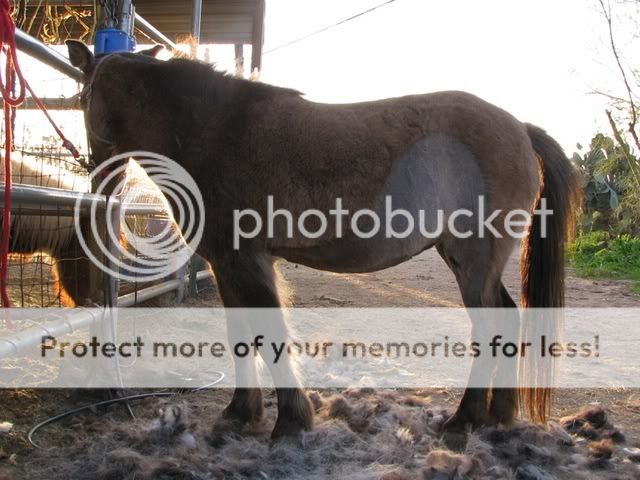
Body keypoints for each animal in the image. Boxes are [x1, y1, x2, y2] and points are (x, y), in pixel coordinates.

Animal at [65, 40, 581, 442]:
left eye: (82, 95)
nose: (99, 175)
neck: (214, 132)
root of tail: (519, 127)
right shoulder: (227, 265)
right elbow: (240, 337)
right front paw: (240, 413)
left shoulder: (247, 261)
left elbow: (269, 334)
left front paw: (290, 422)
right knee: (507, 323)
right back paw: (498, 416)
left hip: (473, 261)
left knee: (491, 329)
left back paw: (465, 420)